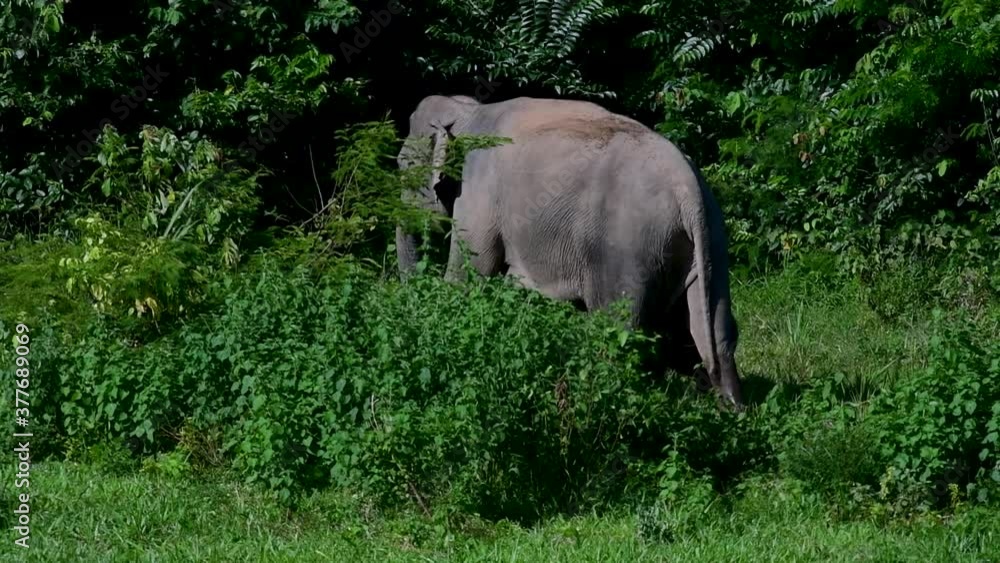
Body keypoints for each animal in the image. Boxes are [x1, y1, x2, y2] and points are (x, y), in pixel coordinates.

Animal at [395, 94, 744, 408]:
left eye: (402, 164)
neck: (468, 111)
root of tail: (688, 190)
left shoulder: (478, 195)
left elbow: (468, 278)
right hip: (711, 241)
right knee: (712, 333)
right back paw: (730, 411)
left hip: (628, 250)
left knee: (618, 330)